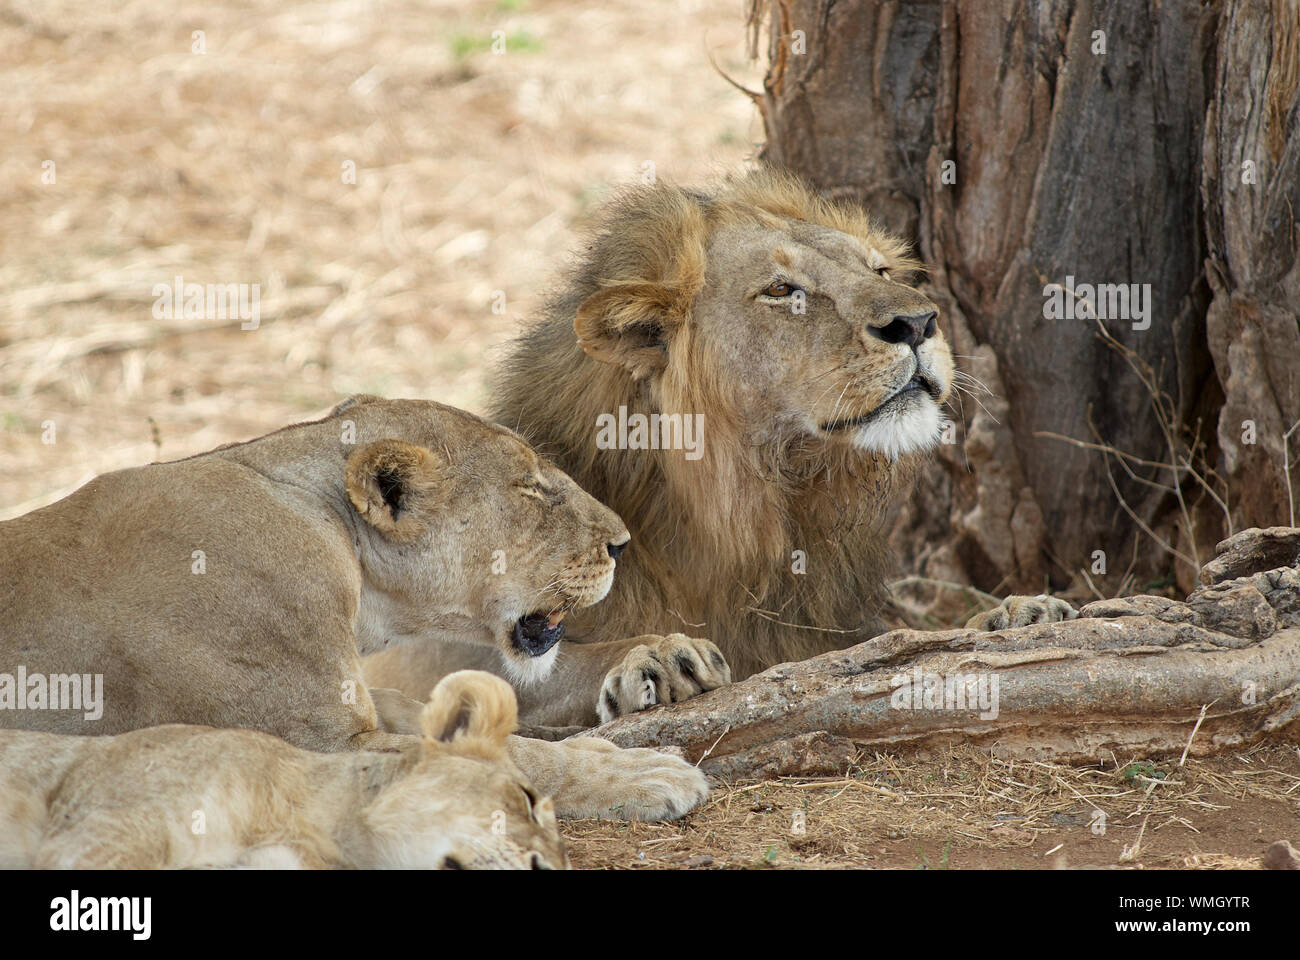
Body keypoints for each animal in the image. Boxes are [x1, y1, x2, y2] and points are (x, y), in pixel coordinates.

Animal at [0, 396, 708, 820]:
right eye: (533, 489)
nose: (622, 542)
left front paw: (653, 664)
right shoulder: (313, 744)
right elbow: (506, 757)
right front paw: (645, 774)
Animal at [364, 168, 1076, 727]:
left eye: (878, 270)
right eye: (783, 291)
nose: (921, 321)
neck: (749, 510)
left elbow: (906, 637)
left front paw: (1018, 614)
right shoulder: (428, 654)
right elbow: (535, 667)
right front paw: (655, 655)